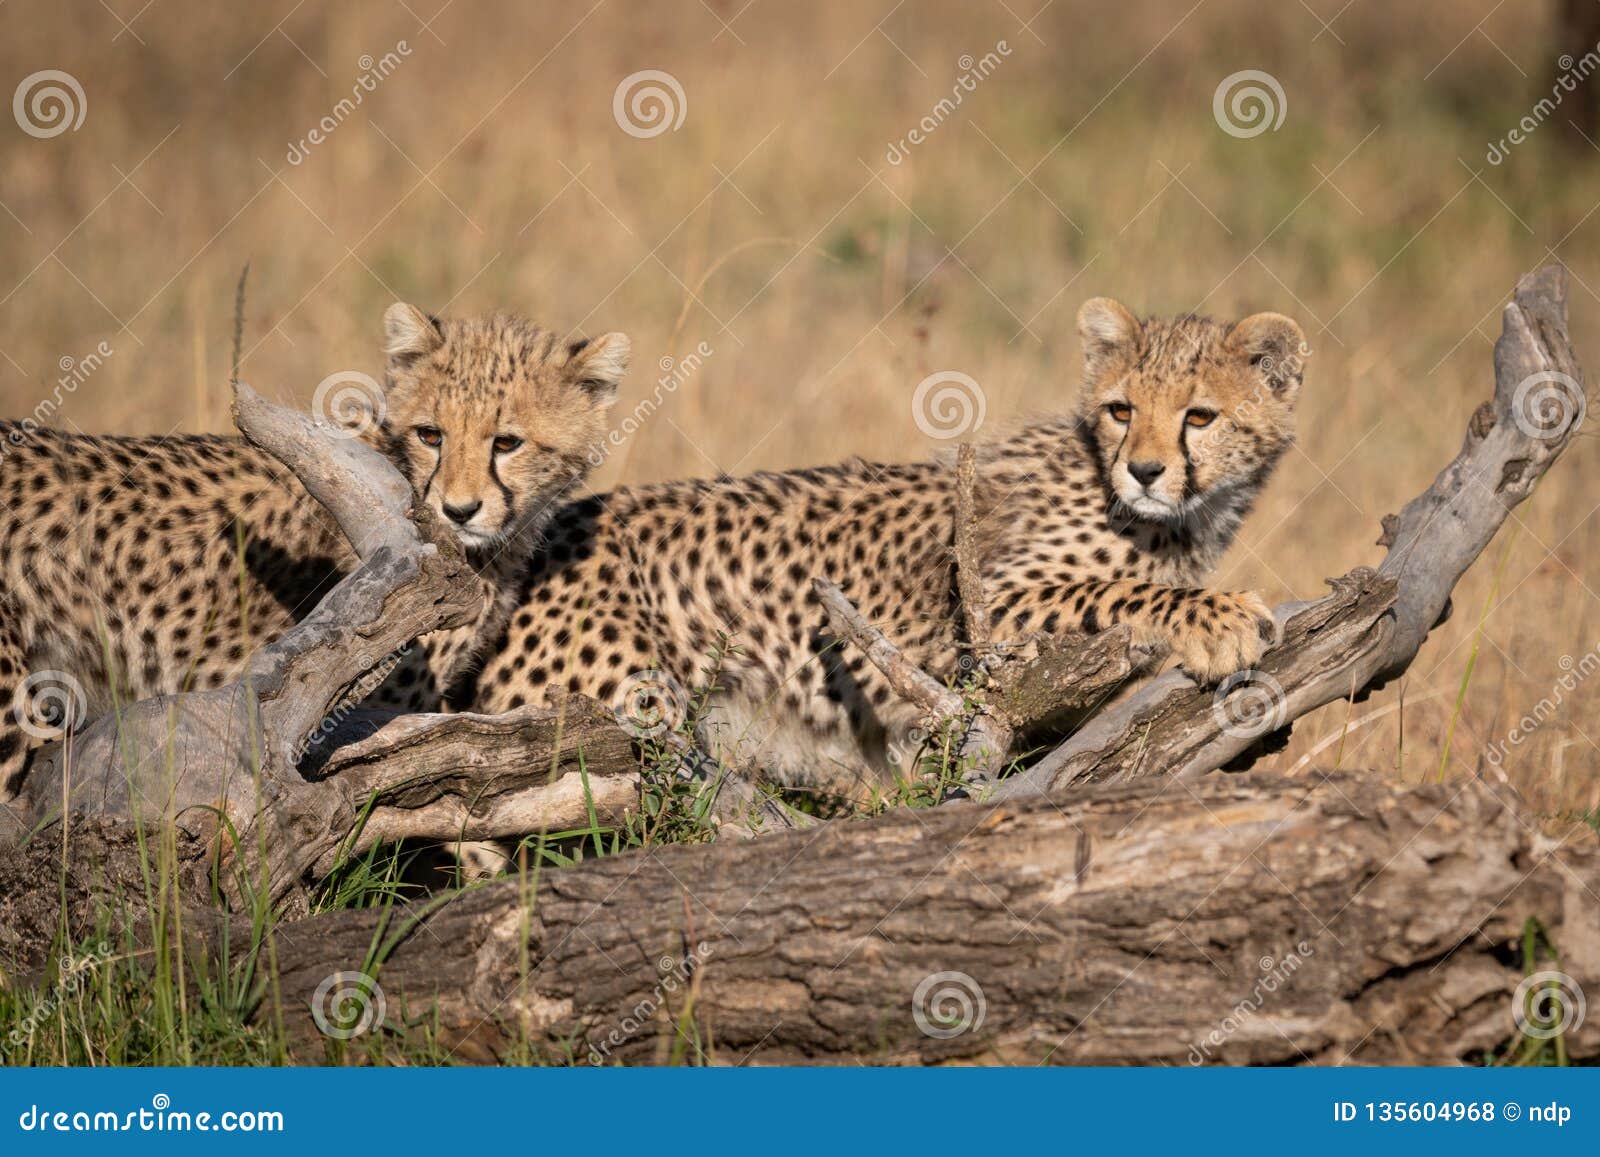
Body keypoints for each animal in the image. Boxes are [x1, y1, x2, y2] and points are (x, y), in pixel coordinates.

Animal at [464, 297, 1308, 799]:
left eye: (1200, 416)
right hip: (621, 702)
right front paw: (1224, 619)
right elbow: (1125, 590)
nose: (1144, 469)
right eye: (1122, 409)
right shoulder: (988, 609)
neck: (1190, 516)